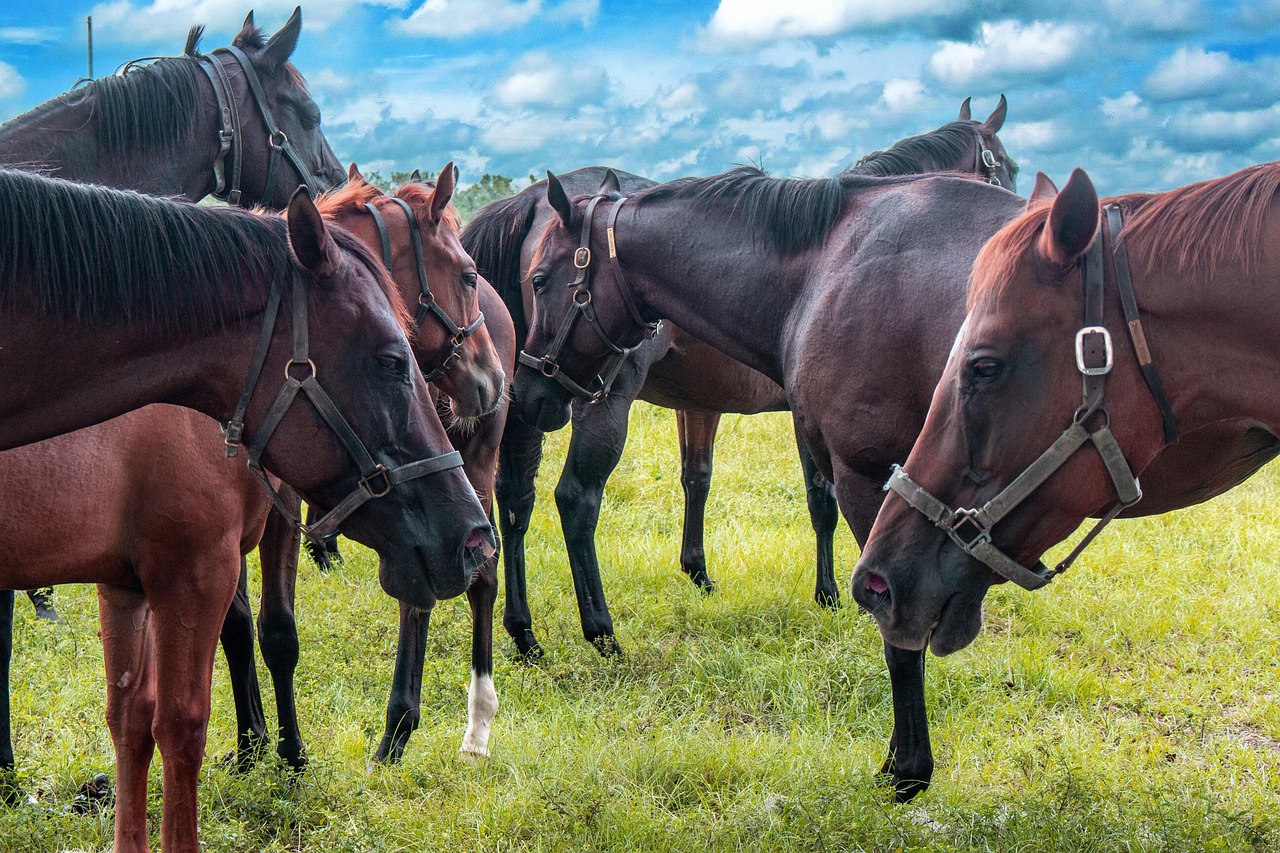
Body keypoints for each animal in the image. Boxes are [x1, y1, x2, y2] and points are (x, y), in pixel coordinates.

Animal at [218, 166, 514, 769]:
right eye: (467, 274)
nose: (492, 378)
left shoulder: (282, 513)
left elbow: (277, 632)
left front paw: (290, 756)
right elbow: (234, 627)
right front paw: (250, 744)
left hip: (468, 476)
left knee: (475, 578)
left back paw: (464, 726)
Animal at [465, 97, 1015, 658]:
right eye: (1007, 167)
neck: (826, 257)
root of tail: (532, 199)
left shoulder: (698, 406)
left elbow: (697, 478)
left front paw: (698, 573)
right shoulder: (810, 420)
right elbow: (823, 501)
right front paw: (830, 594)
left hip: (533, 405)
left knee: (516, 498)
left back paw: (524, 632)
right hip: (597, 399)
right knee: (576, 498)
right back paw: (601, 631)